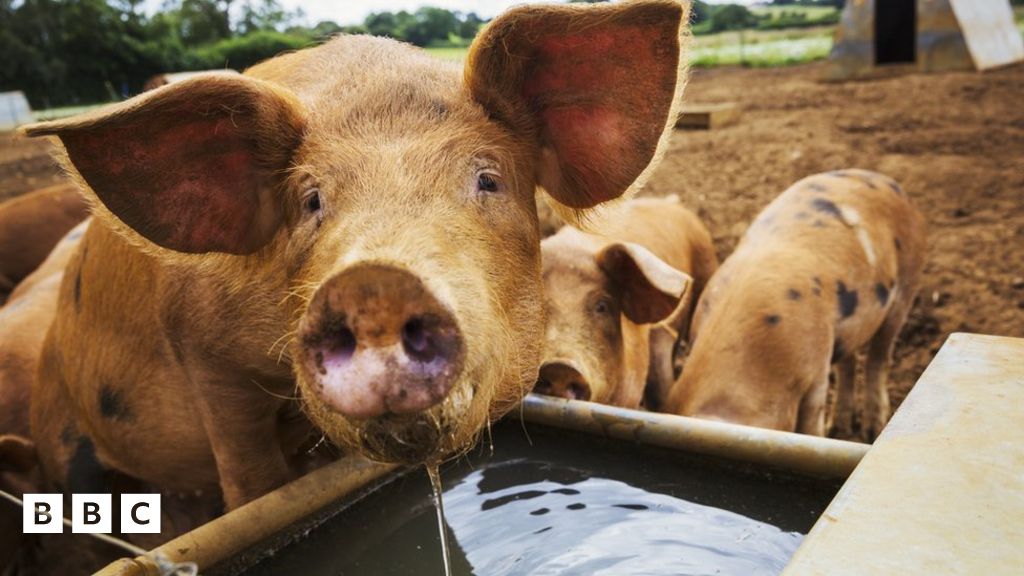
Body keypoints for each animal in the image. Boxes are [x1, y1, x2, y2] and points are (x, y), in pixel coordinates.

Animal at [17, 0, 692, 512]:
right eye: (310, 200)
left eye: (488, 180)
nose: (377, 284)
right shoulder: (201, 351)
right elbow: (253, 483)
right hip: (64, 441)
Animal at [663, 170, 926, 440]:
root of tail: (891, 184)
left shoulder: (818, 370)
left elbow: (810, 425)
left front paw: (819, 437)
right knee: (849, 360)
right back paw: (838, 429)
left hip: (908, 283)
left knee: (879, 356)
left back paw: (871, 431)